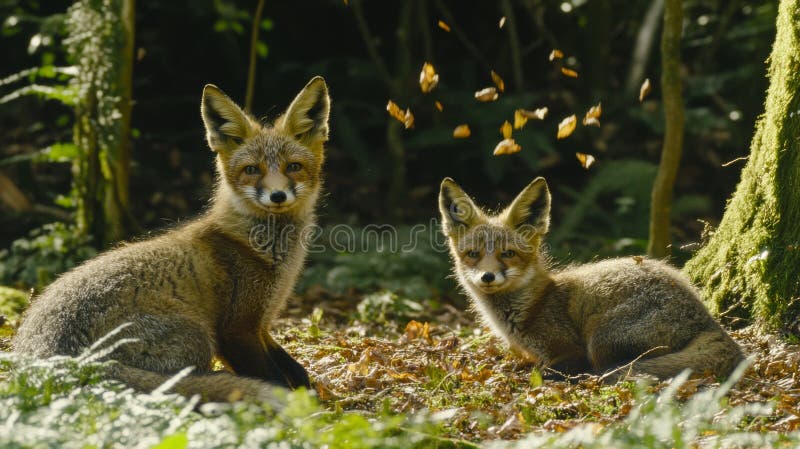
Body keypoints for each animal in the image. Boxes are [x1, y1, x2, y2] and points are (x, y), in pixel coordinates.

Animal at [13, 76, 331, 403]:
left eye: (293, 166)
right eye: (252, 170)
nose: (277, 195)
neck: (270, 254)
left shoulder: (263, 325)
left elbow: (295, 371)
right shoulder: (236, 329)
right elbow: (275, 379)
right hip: (198, 338)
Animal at [438, 177, 745, 380]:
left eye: (508, 254)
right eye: (473, 254)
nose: (487, 276)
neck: (533, 304)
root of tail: (707, 318)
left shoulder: (570, 350)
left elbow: (545, 370)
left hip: (599, 341)